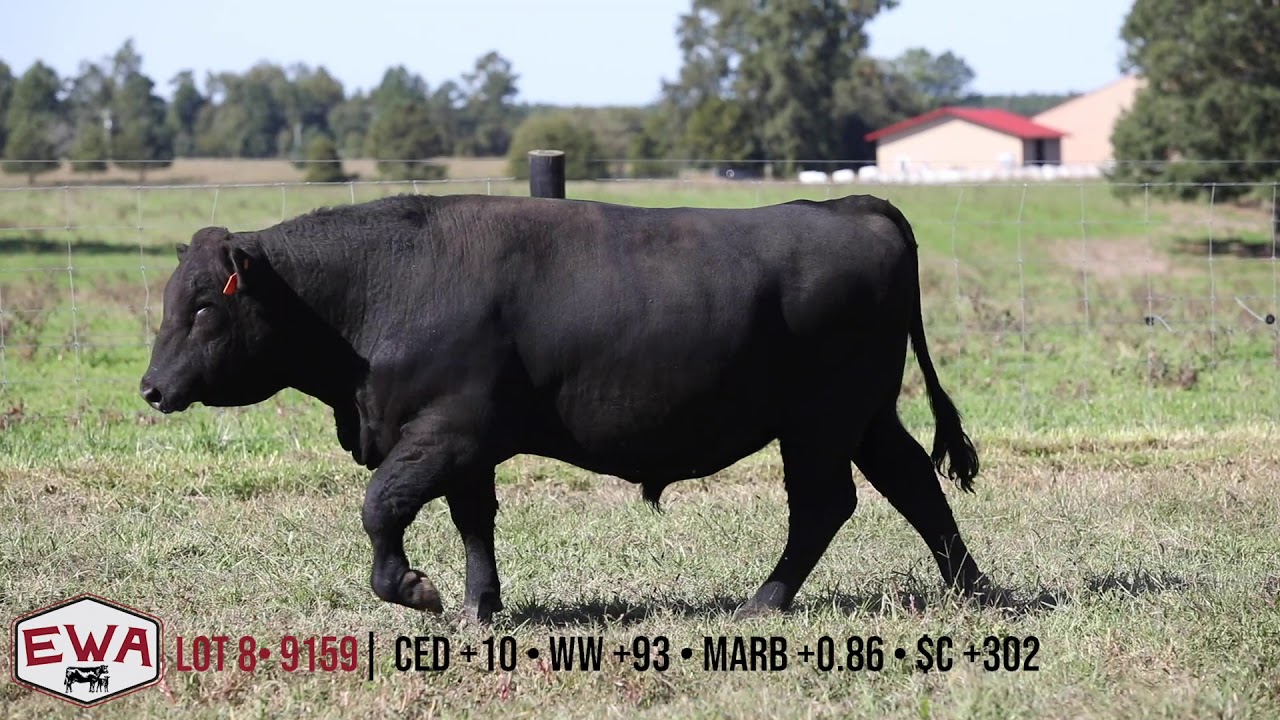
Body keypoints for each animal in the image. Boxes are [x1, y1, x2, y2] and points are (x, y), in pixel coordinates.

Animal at [139, 192, 987, 623]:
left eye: (206, 308)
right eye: (172, 300)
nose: (152, 388)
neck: (383, 284)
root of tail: (850, 206)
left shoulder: (445, 432)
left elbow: (381, 507)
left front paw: (415, 589)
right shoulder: (464, 446)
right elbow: (473, 524)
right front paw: (480, 606)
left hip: (819, 424)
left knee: (824, 505)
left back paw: (765, 601)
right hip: (863, 417)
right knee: (913, 483)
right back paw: (972, 587)